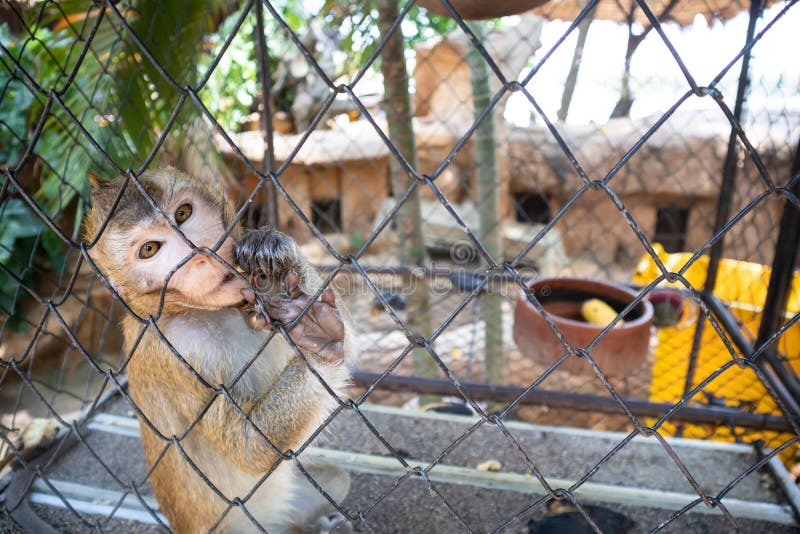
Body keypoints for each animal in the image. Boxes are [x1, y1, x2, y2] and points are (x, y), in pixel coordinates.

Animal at [83, 168, 352, 533]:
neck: (199, 311)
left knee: (337, 479)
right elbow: (250, 447)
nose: (200, 255)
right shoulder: (175, 354)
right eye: (150, 249)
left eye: (183, 214)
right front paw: (318, 340)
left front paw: (276, 251)